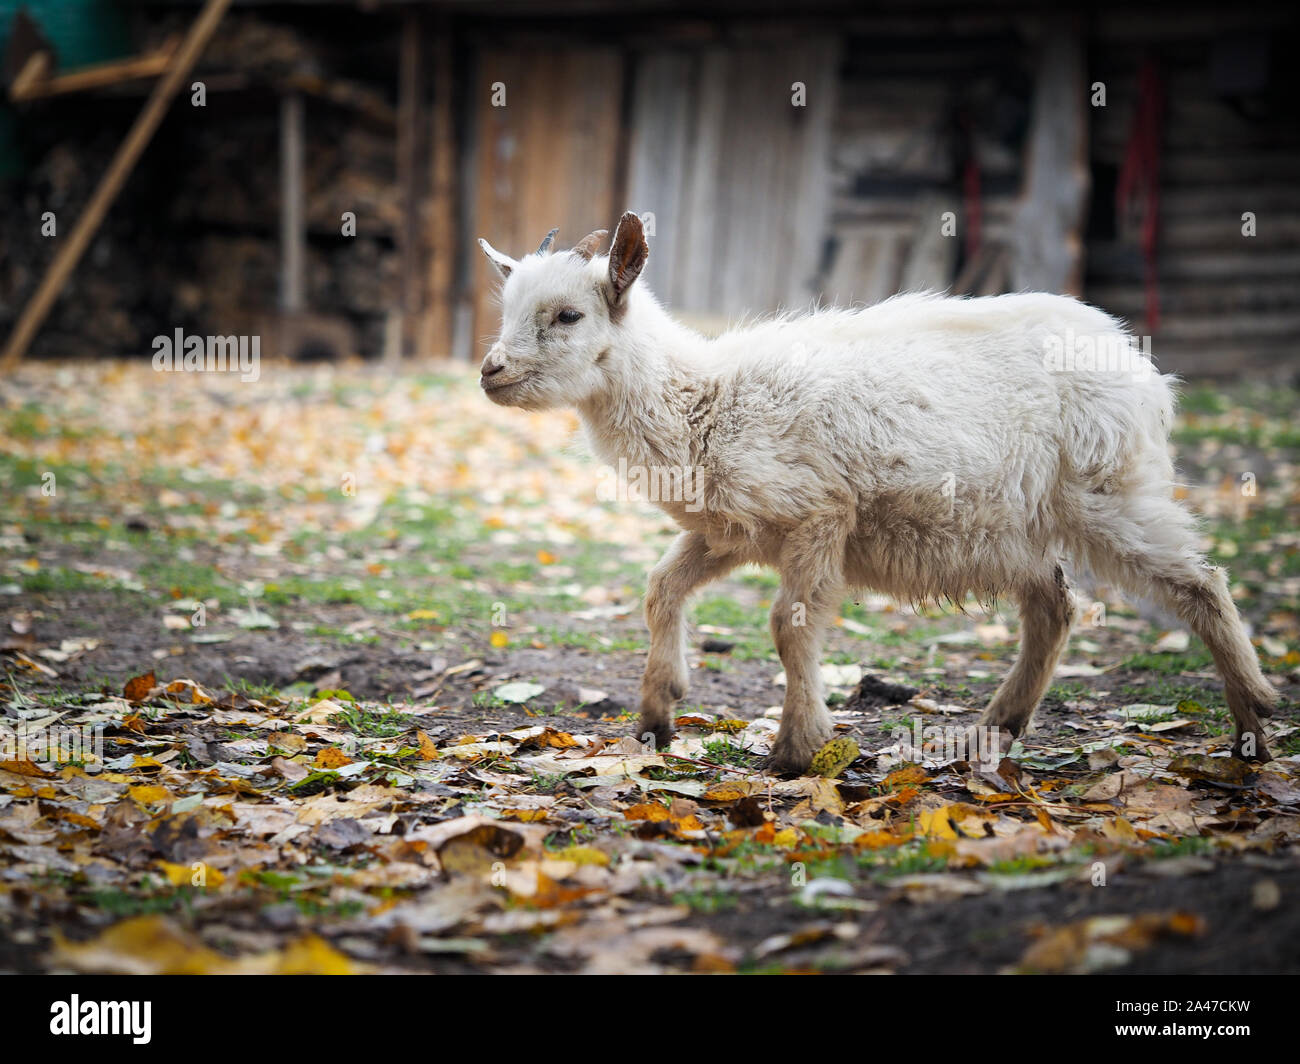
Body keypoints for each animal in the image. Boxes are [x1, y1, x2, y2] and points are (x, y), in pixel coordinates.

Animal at [478, 212, 1277, 775]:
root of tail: (1136, 361)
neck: (704, 398)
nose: (490, 372)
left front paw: (798, 748)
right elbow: (660, 588)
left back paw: (1252, 720)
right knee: (1054, 606)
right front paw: (655, 717)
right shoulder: (733, 531)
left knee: (1200, 581)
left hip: (1109, 490)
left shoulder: (818, 514)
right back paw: (995, 729)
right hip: (1014, 523)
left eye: (568, 316)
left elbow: (789, 624)